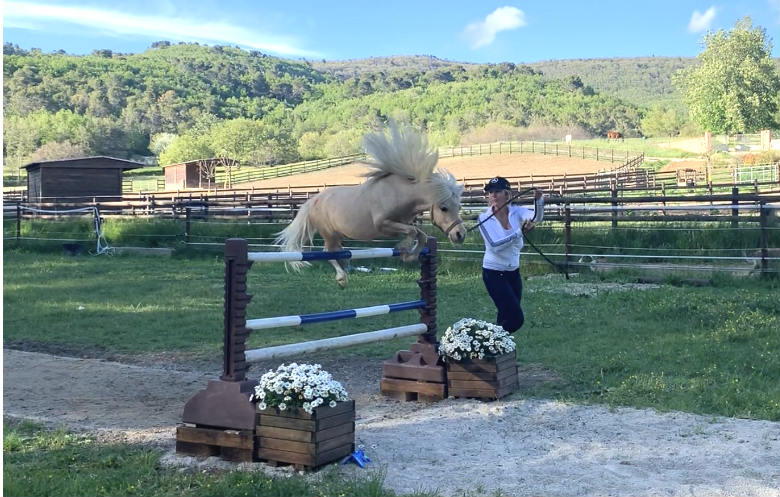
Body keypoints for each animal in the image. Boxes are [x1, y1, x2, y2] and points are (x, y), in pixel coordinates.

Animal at [275, 122, 467, 286]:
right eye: (444, 208)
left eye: (458, 207)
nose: (460, 235)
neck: (399, 193)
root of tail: (314, 200)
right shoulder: (384, 225)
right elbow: (413, 233)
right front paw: (404, 250)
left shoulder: (403, 223)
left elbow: (421, 235)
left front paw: (409, 256)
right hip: (328, 233)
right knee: (327, 253)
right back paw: (341, 277)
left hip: (338, 235)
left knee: (337, 251)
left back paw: (347, 266)